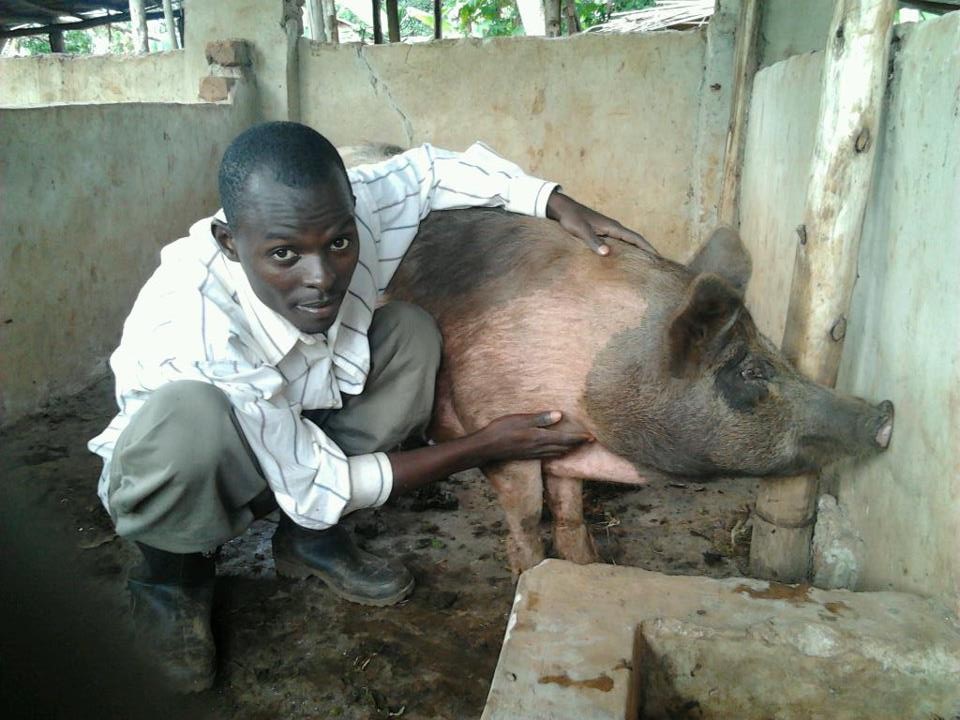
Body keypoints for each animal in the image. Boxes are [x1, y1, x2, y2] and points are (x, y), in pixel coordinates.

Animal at [383, 208, 895, 575]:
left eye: (774, 351)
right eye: (751, 371)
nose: (886, 413)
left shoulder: (569, 447)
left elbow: (570, 512)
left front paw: (586, 568)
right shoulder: (498, 424)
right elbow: (527, 519)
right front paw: (528, 574)